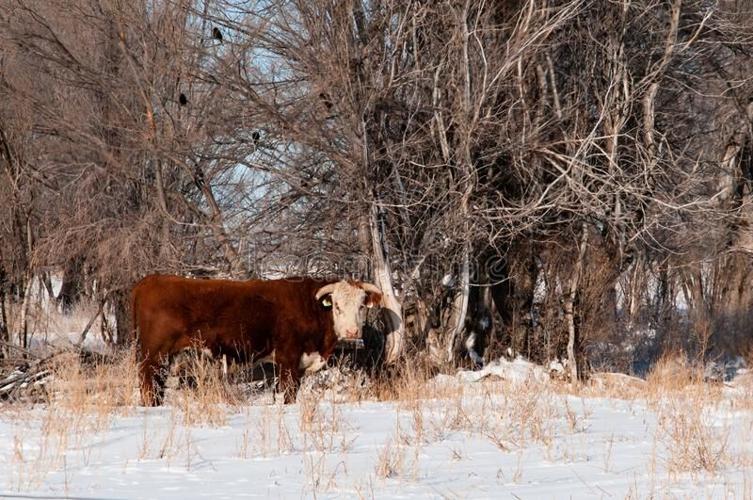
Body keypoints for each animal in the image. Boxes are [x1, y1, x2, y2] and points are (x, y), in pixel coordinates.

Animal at [131, 274, 382, 405]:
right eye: (337, 306)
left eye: (361, 306)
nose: (352, 332)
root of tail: (151, 280)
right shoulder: (288, 359)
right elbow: (288, 392)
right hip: (154, 354)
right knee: (148, 380)